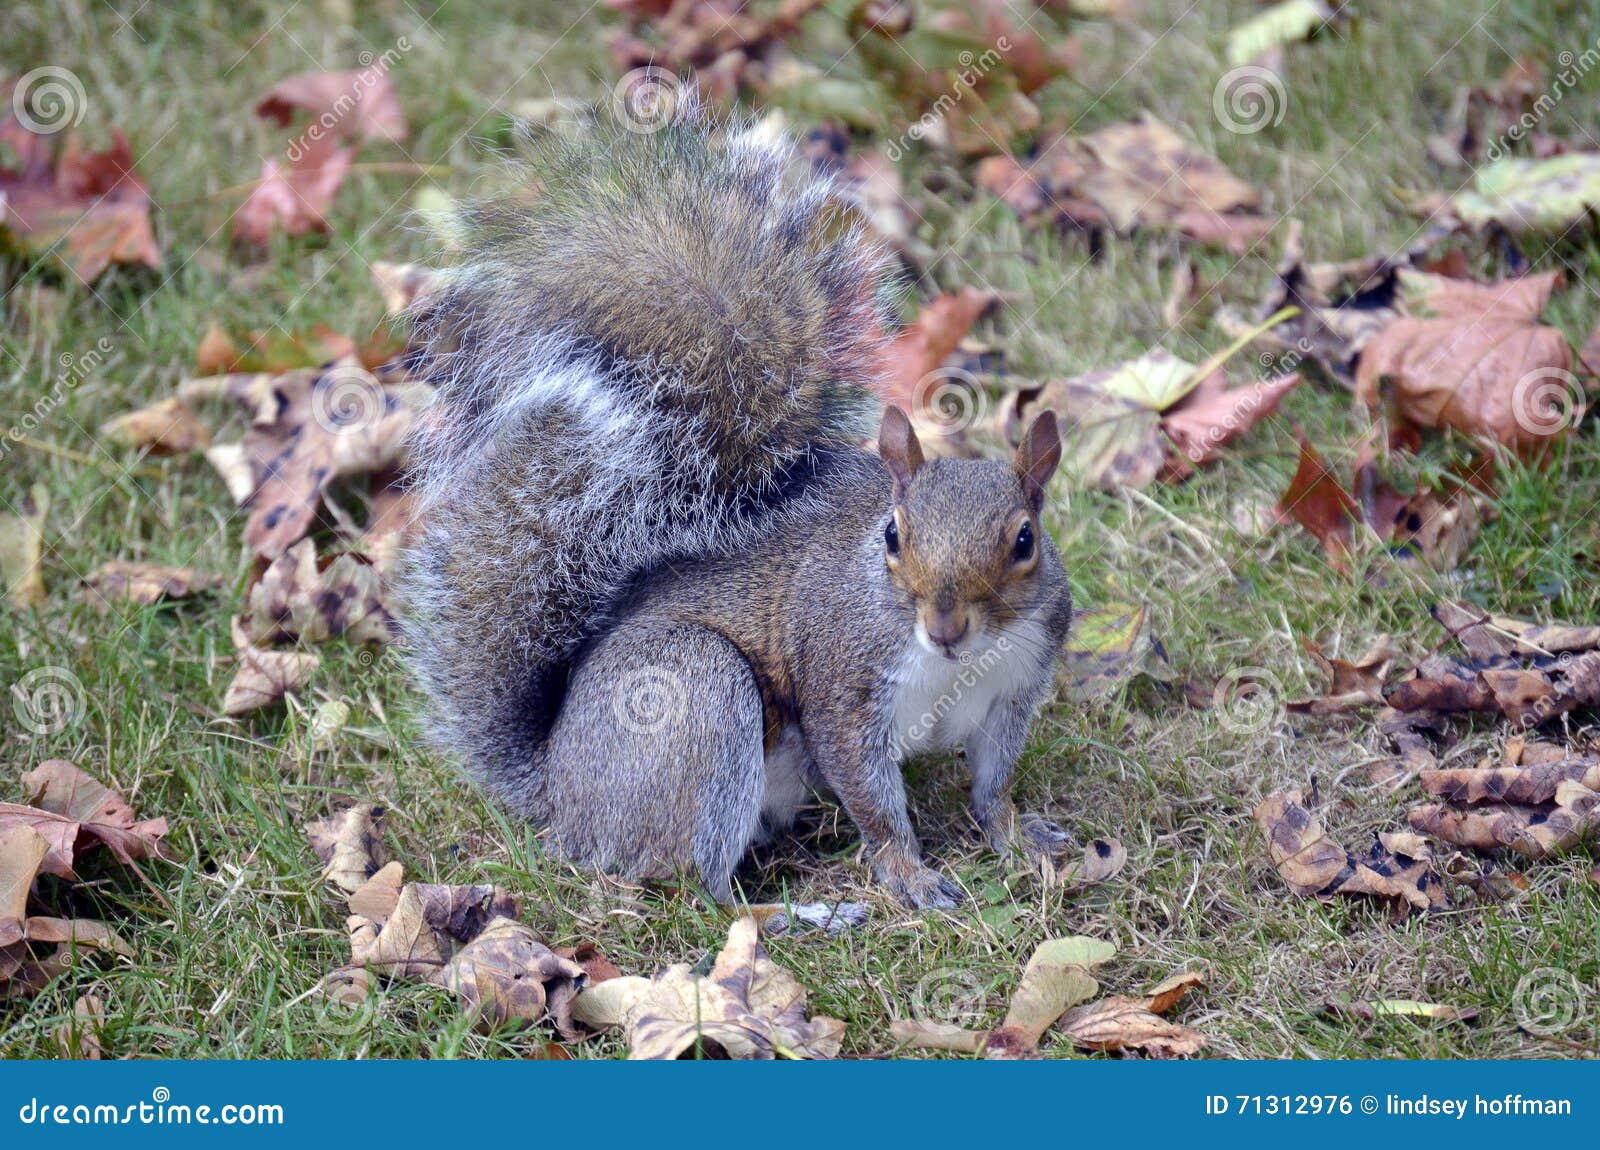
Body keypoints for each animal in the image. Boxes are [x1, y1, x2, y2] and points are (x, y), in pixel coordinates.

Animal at [401, 109, 1075, 909]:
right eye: (893, 535)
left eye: (1025, 541)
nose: (944, 628)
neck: (960, 664)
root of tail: (562, 793)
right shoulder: (843, 688)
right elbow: (873, 801)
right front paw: (911, 876)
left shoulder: (1015, 687)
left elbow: (993, 785)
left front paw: (1019, 836)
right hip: (697, 694)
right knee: (693, 881)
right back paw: (793, 914)